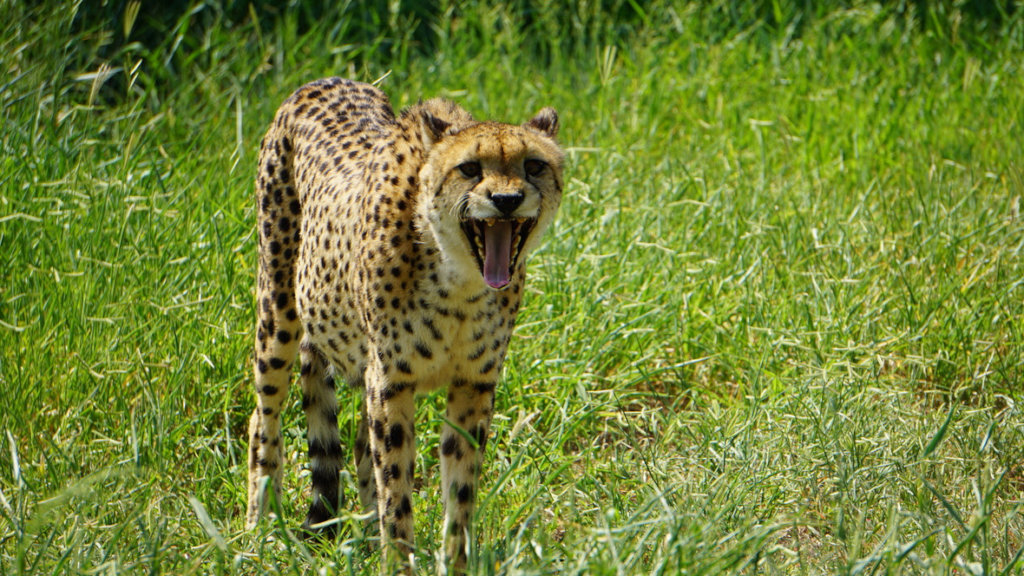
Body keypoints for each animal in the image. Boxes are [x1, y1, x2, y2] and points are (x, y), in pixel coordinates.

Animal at [245, 76, 563, 574]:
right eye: (470, 169)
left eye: (533, 165)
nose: (506, 200)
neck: (458, 281)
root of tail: (324, 81)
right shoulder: (390, 381)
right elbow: (396, 485)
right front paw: (397, 560)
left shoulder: (473, 384)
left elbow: (460, 489)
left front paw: (454, 561)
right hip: (277, 309)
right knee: (263, 417)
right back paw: (259, 530)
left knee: (357, 446)